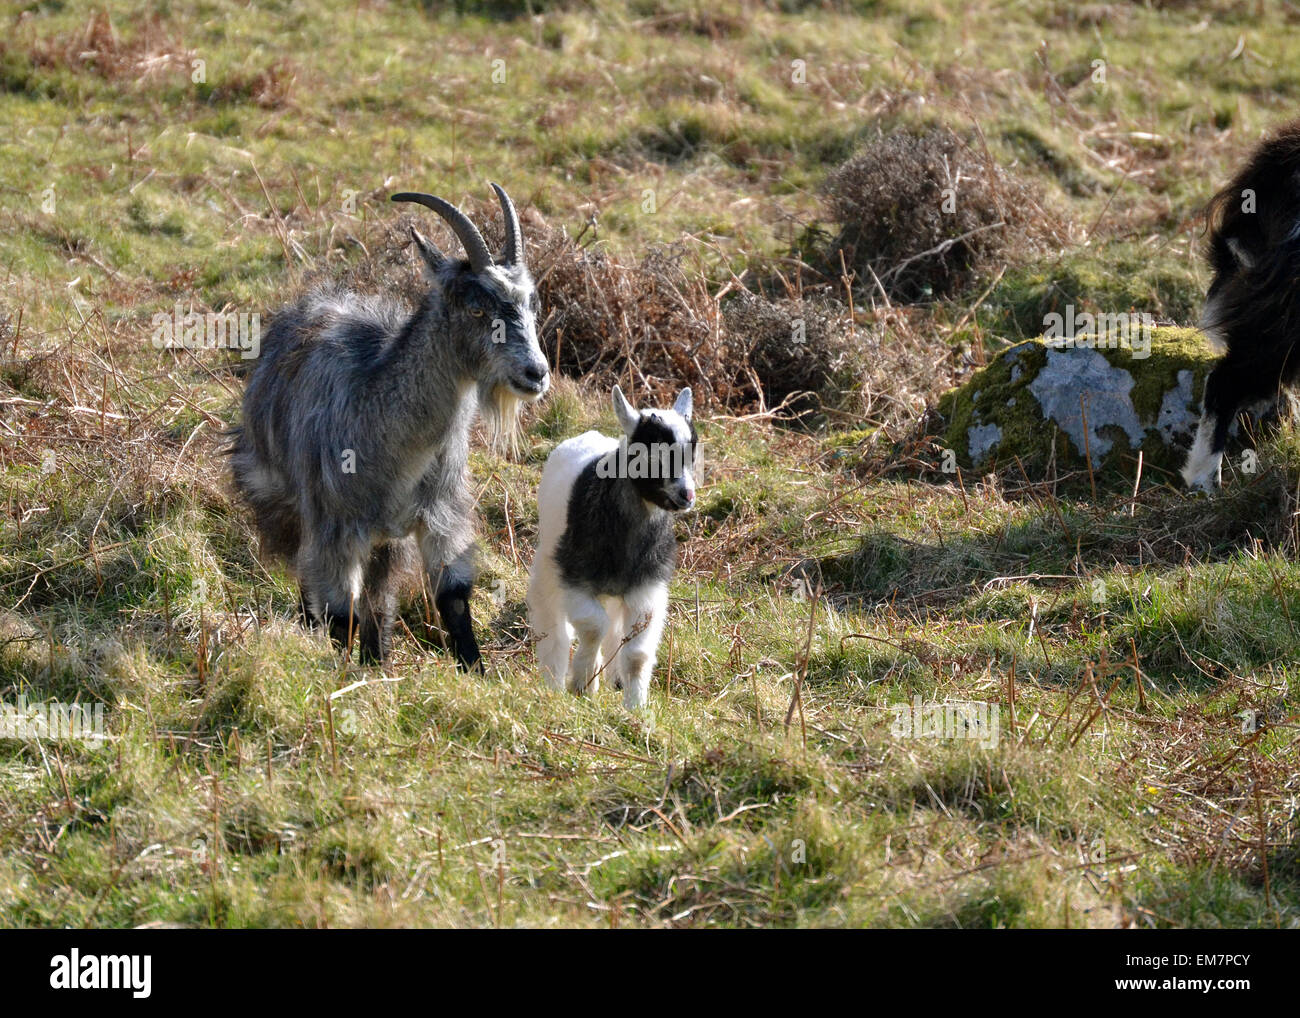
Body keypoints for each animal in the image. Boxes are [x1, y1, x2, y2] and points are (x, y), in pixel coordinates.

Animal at [228, 184, 549, 668]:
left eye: (532, 302)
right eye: (475, 308)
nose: (536, 373)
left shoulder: (441, 513)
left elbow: (453, 597)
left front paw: (475, 671)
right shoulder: (335, 526)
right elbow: (340, 613)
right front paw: (343, 674)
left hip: (386, 541)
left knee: (378, 601)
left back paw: (377, 658)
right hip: (280, 495)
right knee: (308, 575)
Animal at [527, 385, 696, 709]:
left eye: (693, 453)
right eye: (652, 449)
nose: (687, 495)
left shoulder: (646, 589)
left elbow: (637, 655)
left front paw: (636, 707)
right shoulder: (575, 579)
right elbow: (593, 626)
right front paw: (582, 682)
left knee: (615, 631)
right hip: (547, 566)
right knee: (554, 627)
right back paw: (553, 681)